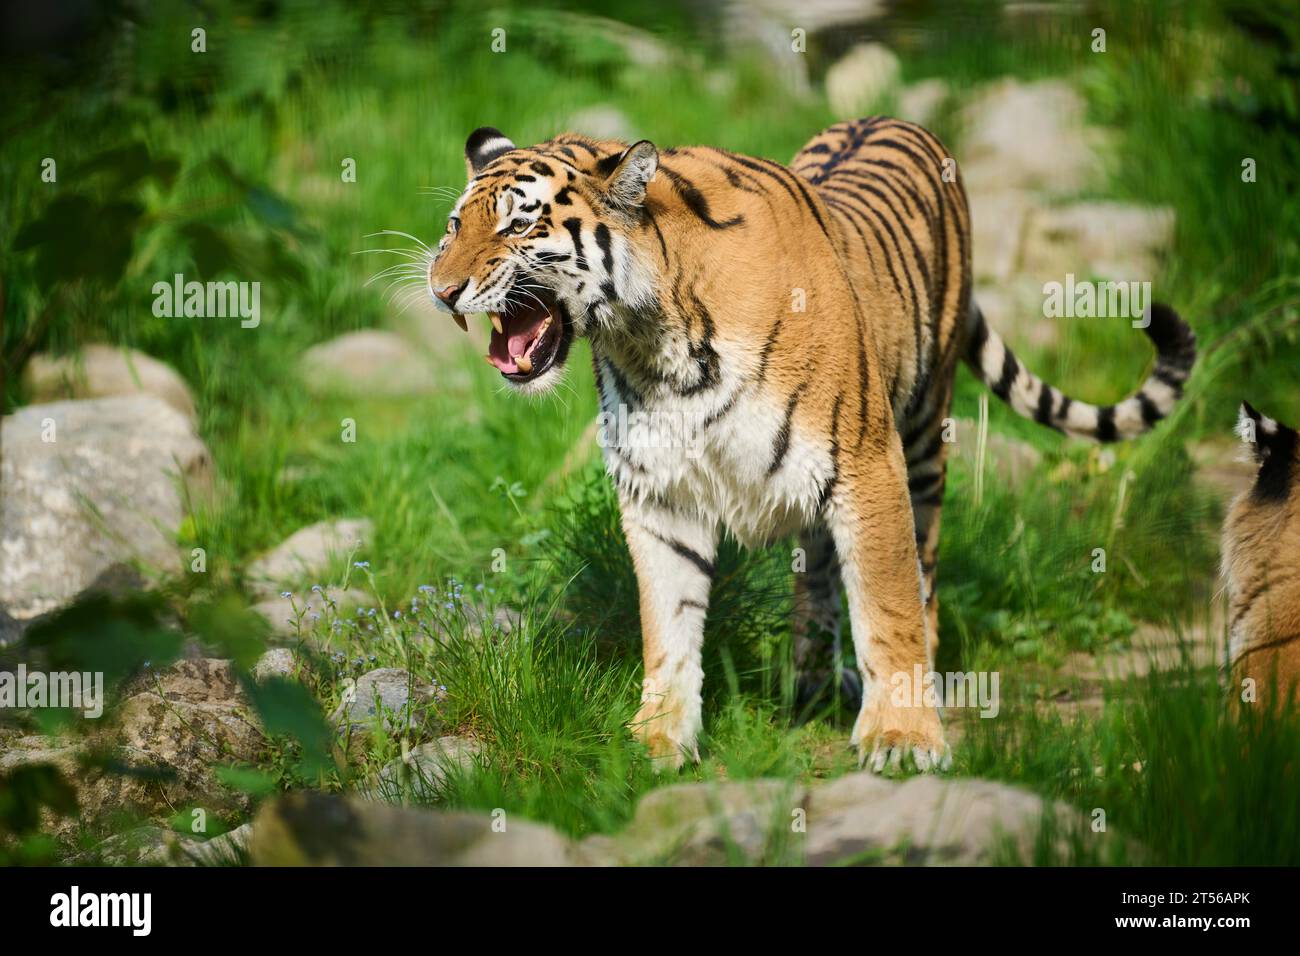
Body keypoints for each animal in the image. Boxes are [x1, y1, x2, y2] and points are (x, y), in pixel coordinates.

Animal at [425, 119, 1197, 772]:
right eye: (456, 224)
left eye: (520, 223)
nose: (440, 290)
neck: (651, 341)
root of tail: (899, 121)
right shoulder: (660, 490)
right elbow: (667, 623)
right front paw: (658, 740)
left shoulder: (867, 460)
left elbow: (887, 604)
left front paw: (904, 737)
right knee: (818, 566)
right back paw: (811, 680)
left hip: (923, 435)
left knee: (922, 572)